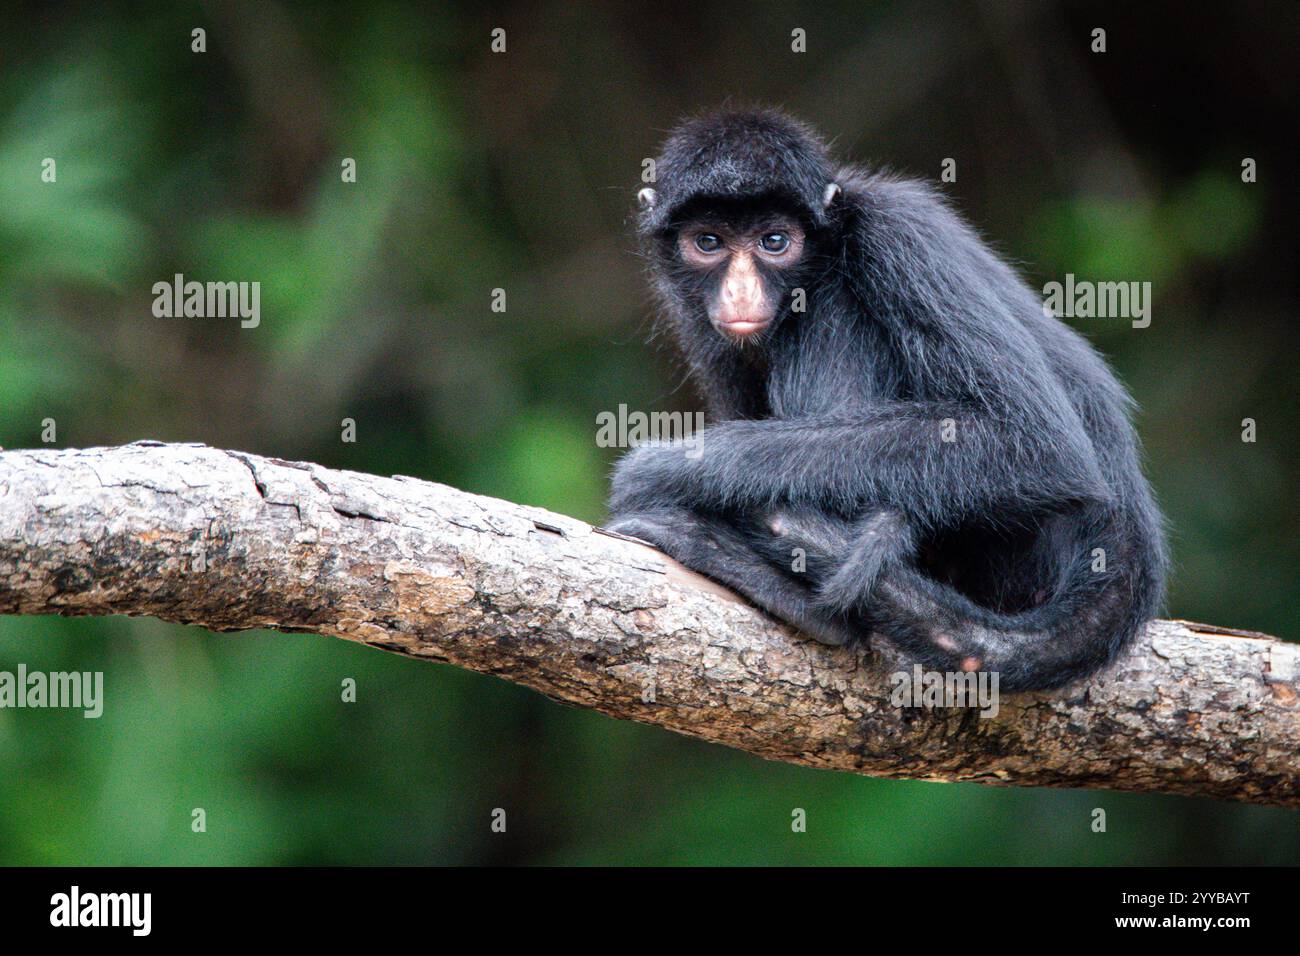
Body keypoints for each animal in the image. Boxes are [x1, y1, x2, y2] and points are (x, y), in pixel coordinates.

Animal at [605, 108, 1167, 692]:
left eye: (774, 241)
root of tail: (1129, 535)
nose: (740, 292)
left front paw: (667, 469)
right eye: (709, 242)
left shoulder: (898, 229)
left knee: (831, 304)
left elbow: (1039, 446)